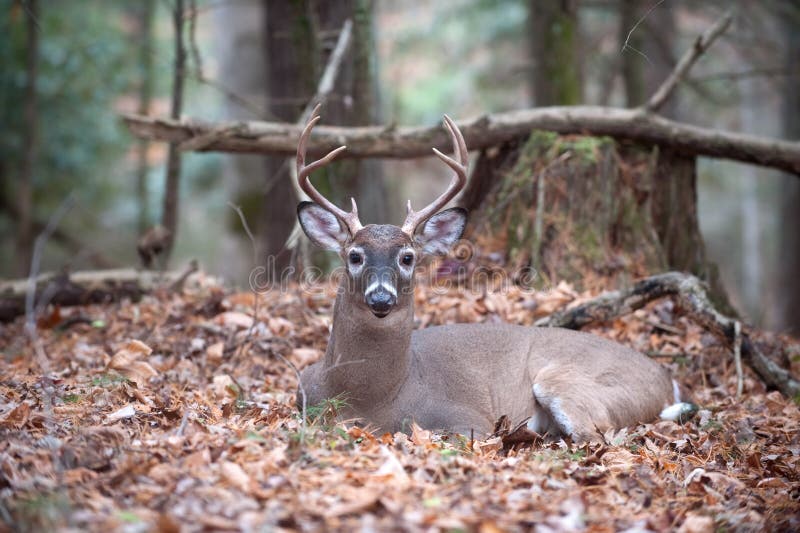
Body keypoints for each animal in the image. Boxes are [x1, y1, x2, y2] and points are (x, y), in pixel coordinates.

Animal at [295, 106, 692, 442]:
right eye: (355, 255)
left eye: (407, 257)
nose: (381, 297)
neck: (371, 399)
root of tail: (667, 379)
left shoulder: (468, 418)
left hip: (570, 382)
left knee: (594, 436)